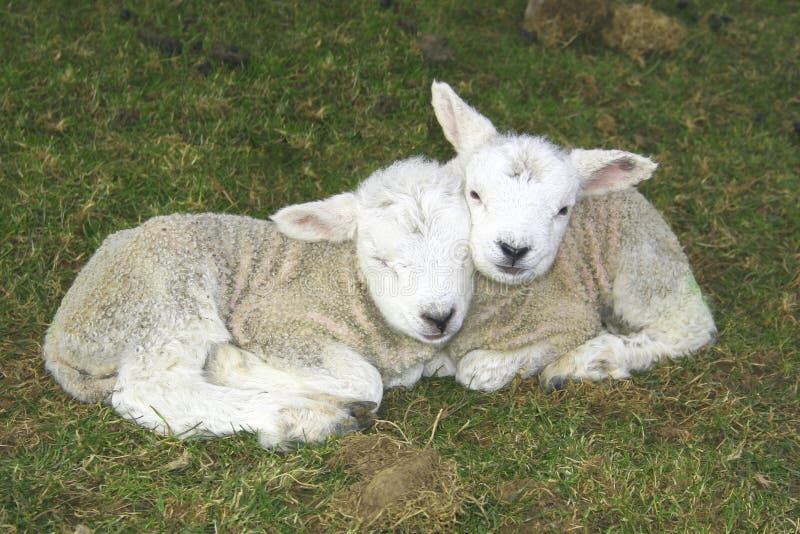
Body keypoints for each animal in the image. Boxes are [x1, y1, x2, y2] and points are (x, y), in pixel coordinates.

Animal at [43, 157, 474, 449]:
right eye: (380, 259)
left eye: (465, 253)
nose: (438, 317)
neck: (345, 277)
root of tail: (58, 338)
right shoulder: (270, 318)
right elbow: (367, 379)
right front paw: (233, 365)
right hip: (164, 298)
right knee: (154, 390)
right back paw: (307, 416)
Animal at [424, 81, 716, 392]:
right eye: (475, 194)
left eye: (564, 210)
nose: (514, 250)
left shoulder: (573, 319)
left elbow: (475, 369)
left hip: (644, 271)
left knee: (687, 326)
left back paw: (584, 362)